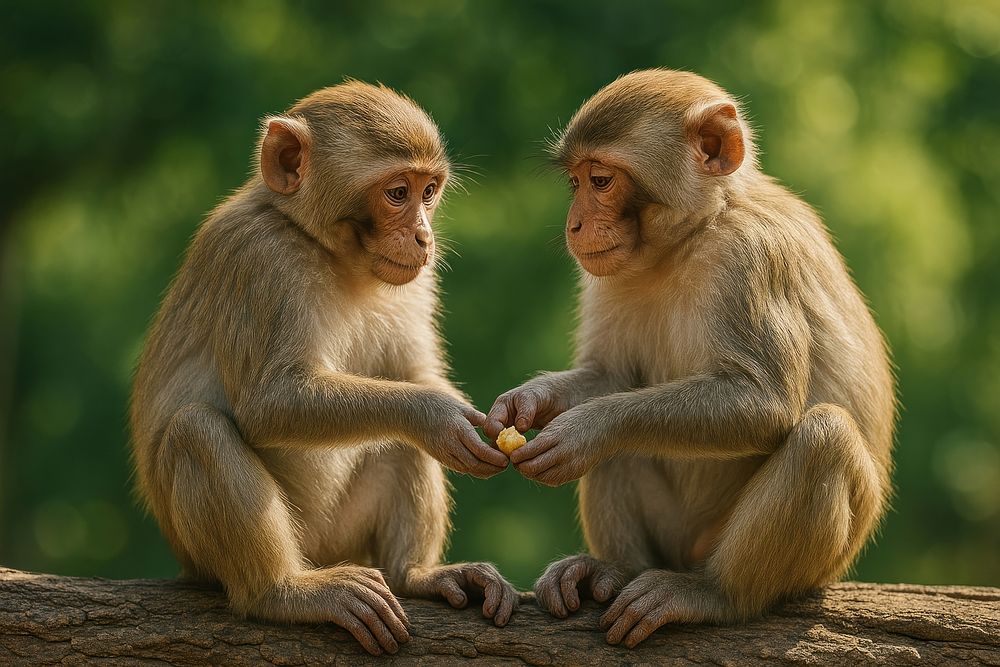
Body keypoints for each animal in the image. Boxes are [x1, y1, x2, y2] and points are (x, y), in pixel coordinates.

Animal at [130, 81, 518, 656]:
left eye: (429, 192)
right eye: (397, 193)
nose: (424, 237)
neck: (331, 254)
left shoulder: (416, 281)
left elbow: (414, 372)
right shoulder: (261, 258)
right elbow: (270, 402)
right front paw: (439, 415)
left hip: (342, 535)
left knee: (397, 440)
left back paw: (415, 575)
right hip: (224, 554)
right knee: (196, 431)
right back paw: (282, 591)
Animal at [484, 69, 895, 648]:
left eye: (602, 181)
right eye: (576, 182)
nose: (575, 226)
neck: (689, 238)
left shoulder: (752, 257)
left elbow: (765, 404)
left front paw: (585, 428)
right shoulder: (606, 274)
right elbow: (610, 375)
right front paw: (531, 401)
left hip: (811, 562)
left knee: (825, 437)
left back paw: (714, 594)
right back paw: (614, 571)